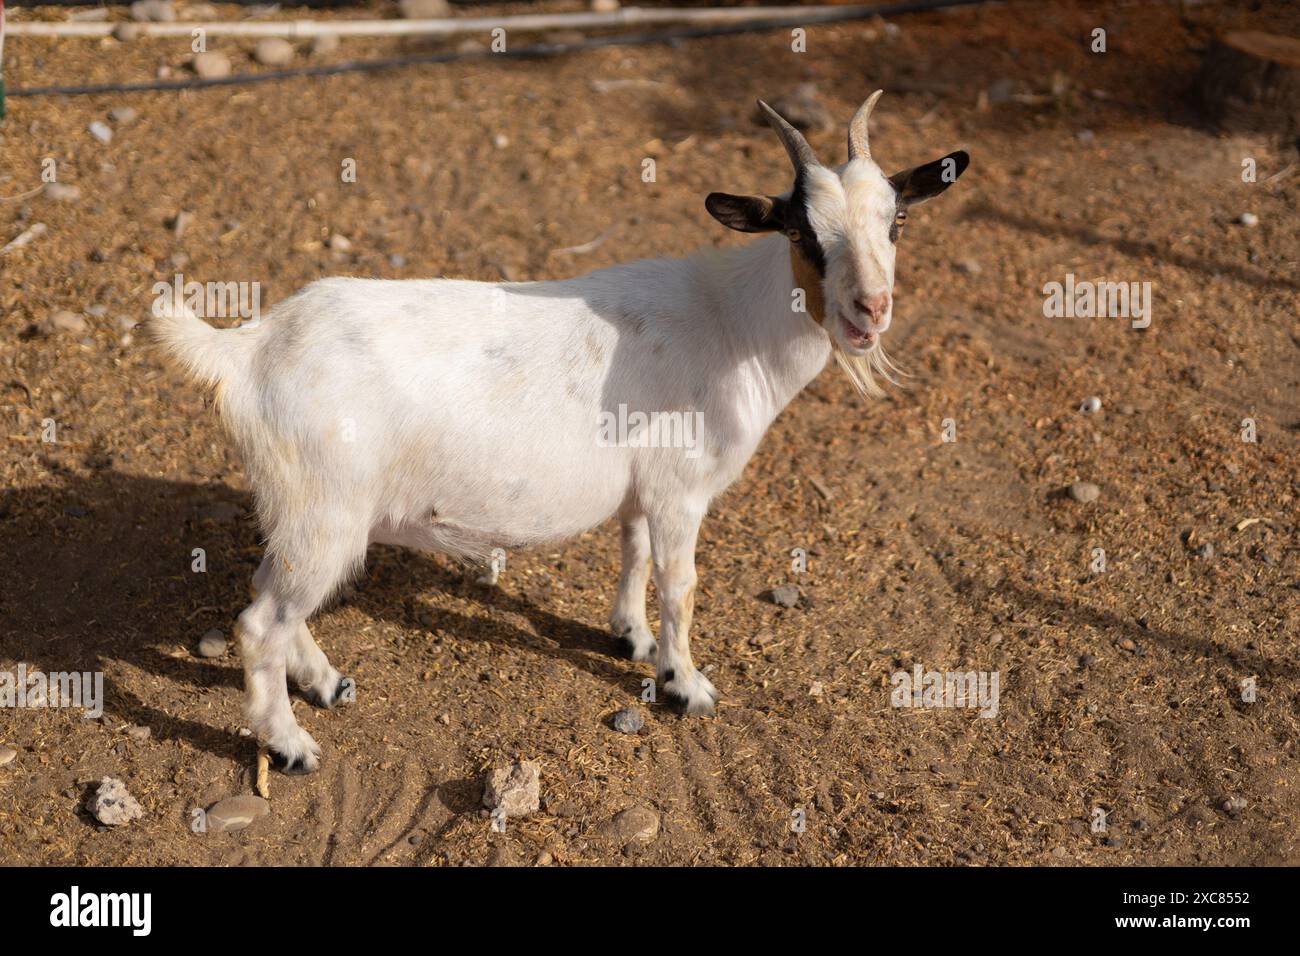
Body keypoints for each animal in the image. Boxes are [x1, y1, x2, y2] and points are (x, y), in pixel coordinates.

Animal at [148, 92, 969, 773]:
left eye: (897, 221)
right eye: (801, 229)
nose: (870, 309)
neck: (731, 325)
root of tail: (249, 347)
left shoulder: (643, 489)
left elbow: (633, 553)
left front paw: (631, 637)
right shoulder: (680, 491)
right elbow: (681, 586)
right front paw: (685, 685)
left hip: (303, 512)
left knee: (272, 595)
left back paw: (324, 683)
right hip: (326, 513)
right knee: (260, 622)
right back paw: (290, 746)